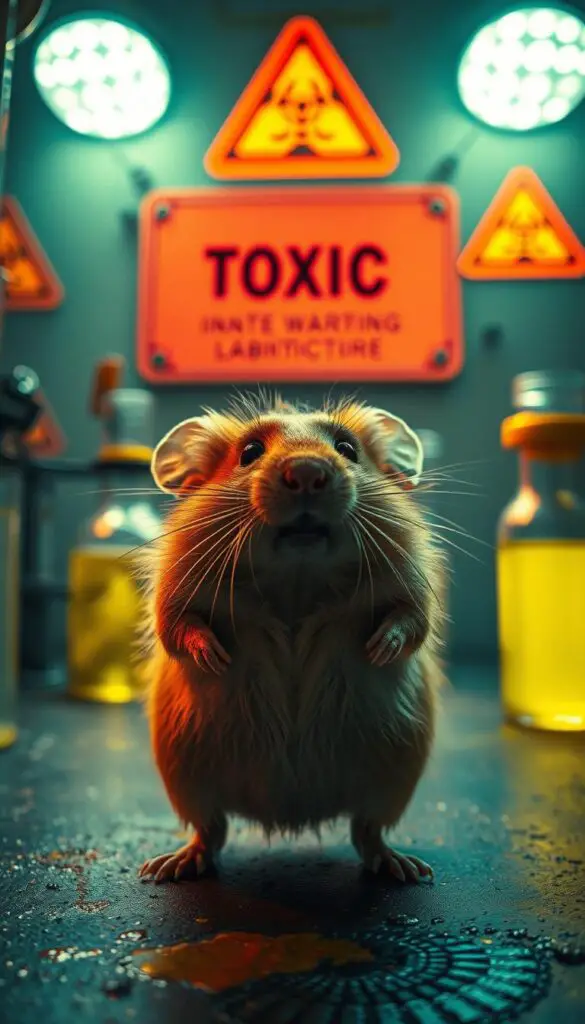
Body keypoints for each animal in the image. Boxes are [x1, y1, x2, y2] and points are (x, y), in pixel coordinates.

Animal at [139, 395, 446, 884]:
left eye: (347, 449)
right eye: (249, 453)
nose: (306, 472)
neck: (297, 578)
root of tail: (290, 817)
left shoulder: (413, 580)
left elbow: (409, 621)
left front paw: (379, 648)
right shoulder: (173, 589)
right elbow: (180, 627)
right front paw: (215, 657)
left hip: (394, 777)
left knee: (368, 831)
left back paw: (404, 868)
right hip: (185, 777)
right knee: (210, 831)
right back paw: (169, 866)